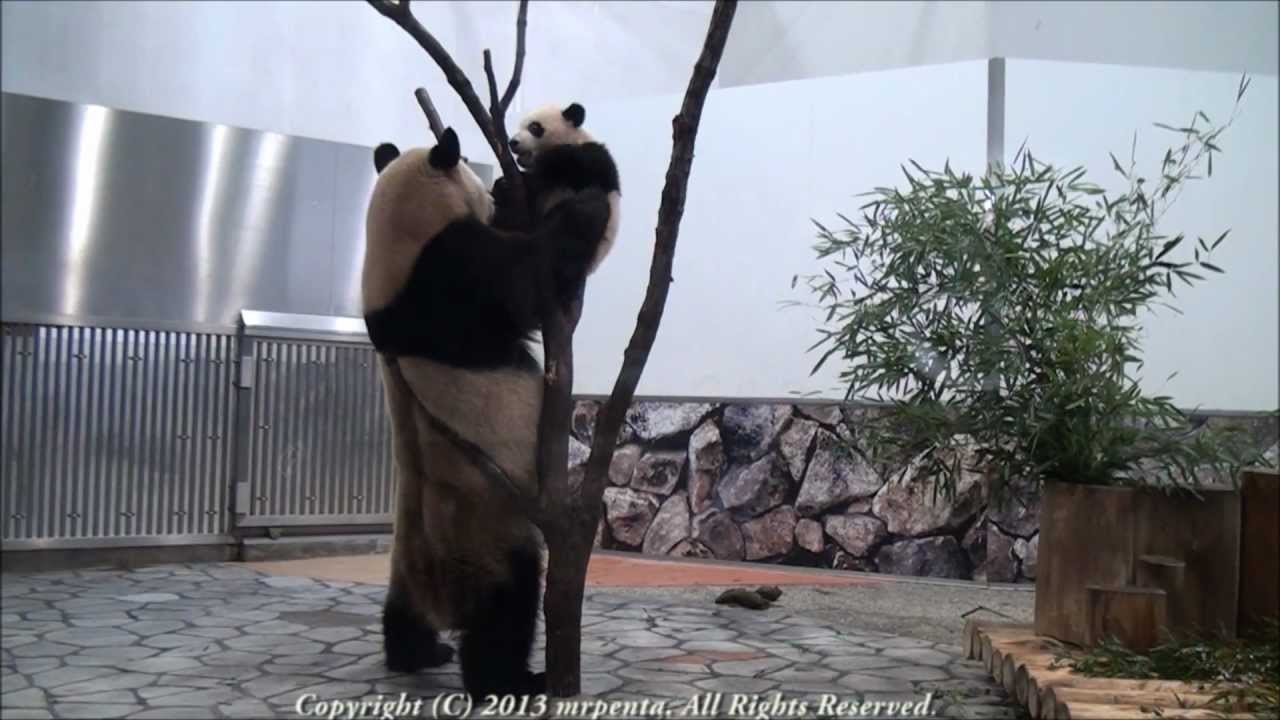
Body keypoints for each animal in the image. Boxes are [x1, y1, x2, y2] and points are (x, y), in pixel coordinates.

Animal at [361, 127, 611, 700]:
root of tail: (434, 586)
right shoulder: (448, 276)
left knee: (398, 606)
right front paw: (590, 190)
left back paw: (417, 652)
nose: (494, 189)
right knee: (507, 603)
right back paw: (513, 678)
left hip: (406, 545)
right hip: (487, 528)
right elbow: (534, 272)